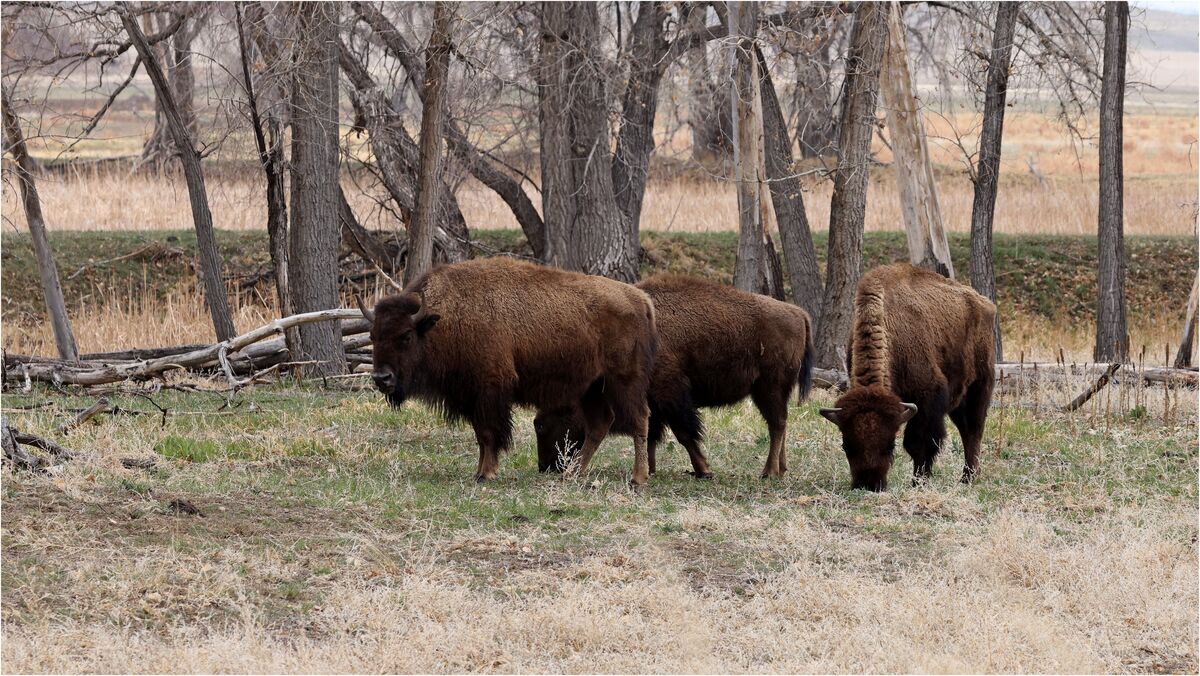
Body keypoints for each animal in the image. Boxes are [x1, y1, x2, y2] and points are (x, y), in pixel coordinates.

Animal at [367, 257, 658, 485]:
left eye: (406, 336)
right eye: (372, 336)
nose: (382, 378)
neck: (446, 317)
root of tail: (641, 300)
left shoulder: (489, 389)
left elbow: (488, 433)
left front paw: (486, 473)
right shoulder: (472, 396)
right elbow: (480, 435)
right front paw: (479, 472)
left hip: (623, 380)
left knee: (640, 419)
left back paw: (637, 478)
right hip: (592, 387)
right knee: (599, 424)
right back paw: (571, 475)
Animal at [535, 275, 815, 479]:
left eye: (540, 425)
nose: (545, 467)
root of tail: (798, 313)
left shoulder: (670, 394)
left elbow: (684, 434)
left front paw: (703, 470)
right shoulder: (657, 403)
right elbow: (653, 434)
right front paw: (651, 469)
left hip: (769, 387)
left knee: (777, 424)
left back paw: (768, 472)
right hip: (770, 391)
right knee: (780, 424)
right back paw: (781, 469)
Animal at [818, 263, 996, 491]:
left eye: (890, 445)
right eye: (846, 445)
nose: (868, 484)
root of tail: (985, 304)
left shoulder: (928, 399)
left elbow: (919, 442)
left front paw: (919, 481)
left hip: (979, 387)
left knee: (973, 431)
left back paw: (968, 478)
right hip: (958, 400)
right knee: (966, 430)